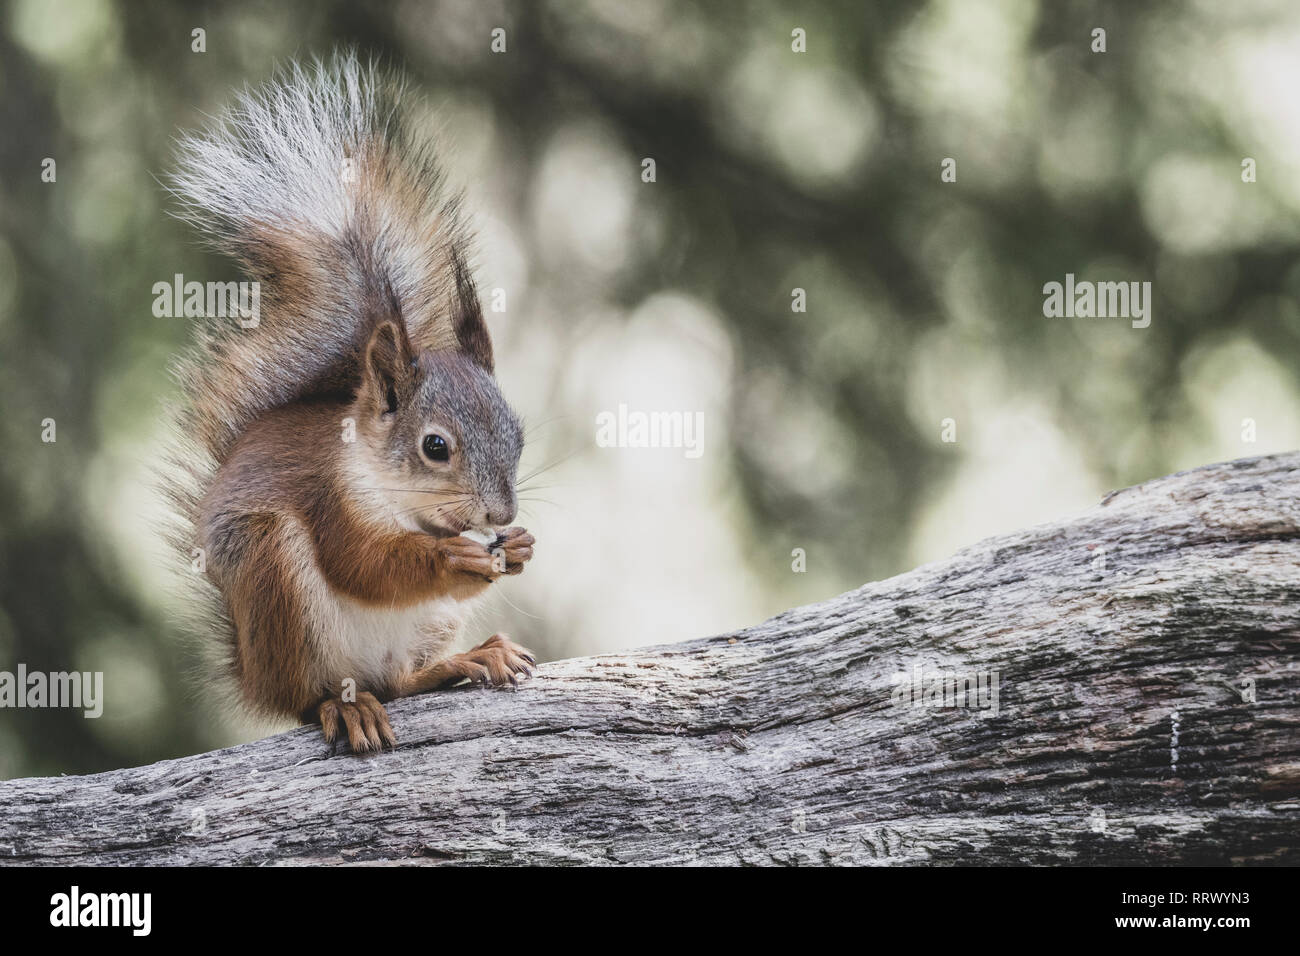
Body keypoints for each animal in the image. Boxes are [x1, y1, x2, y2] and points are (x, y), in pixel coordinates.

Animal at [162, 52, 536, 753]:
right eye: (435, 446)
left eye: (518, 435)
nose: (501, 515)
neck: (402, 502)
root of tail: (252, 671)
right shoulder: (327, 496)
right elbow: (363, 564)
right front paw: (451, 558)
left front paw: (520, 547)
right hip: (274, 574)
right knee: (312, 697)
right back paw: (347, 707)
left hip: (421, 630)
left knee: (403, 680)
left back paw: (469, 658)